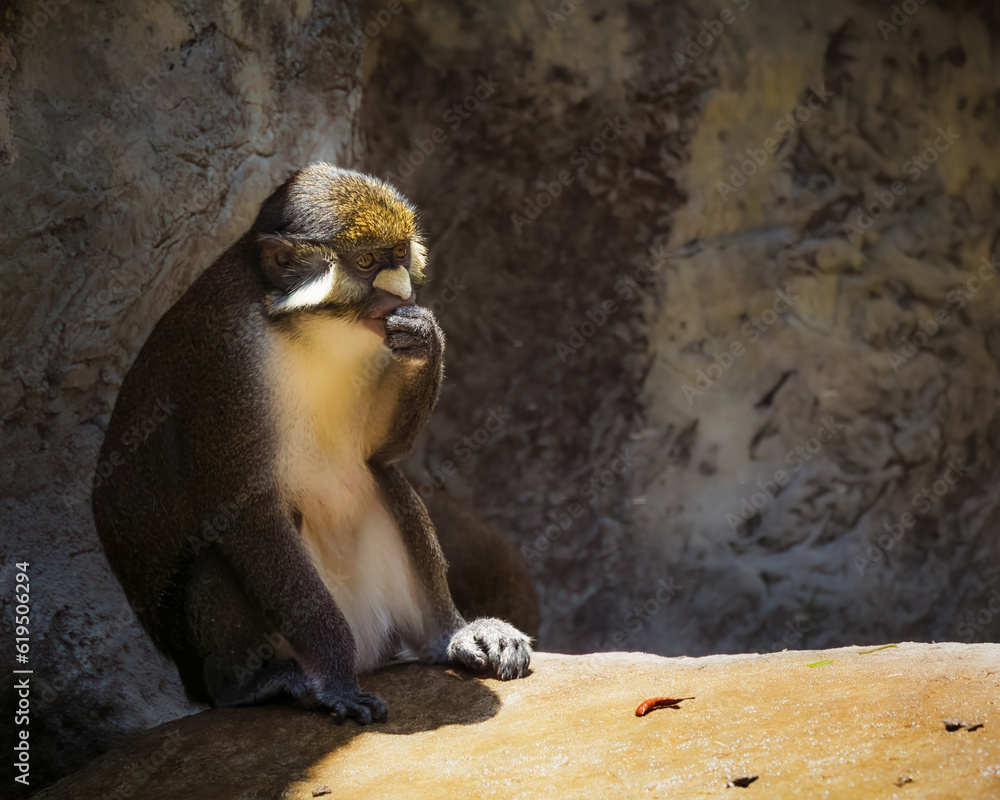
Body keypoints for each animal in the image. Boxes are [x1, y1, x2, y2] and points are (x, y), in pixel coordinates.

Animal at [91, 163, 531, 725]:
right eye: (365, 262)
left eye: (398, 254)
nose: (401, 296)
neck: (303, 327)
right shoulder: (225, 364)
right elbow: (244, 511)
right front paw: (337, 681)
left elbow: (378, 453)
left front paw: (426, 337)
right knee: (213, 564)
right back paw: (251, 684)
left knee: (384, 480)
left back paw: (451, 635)